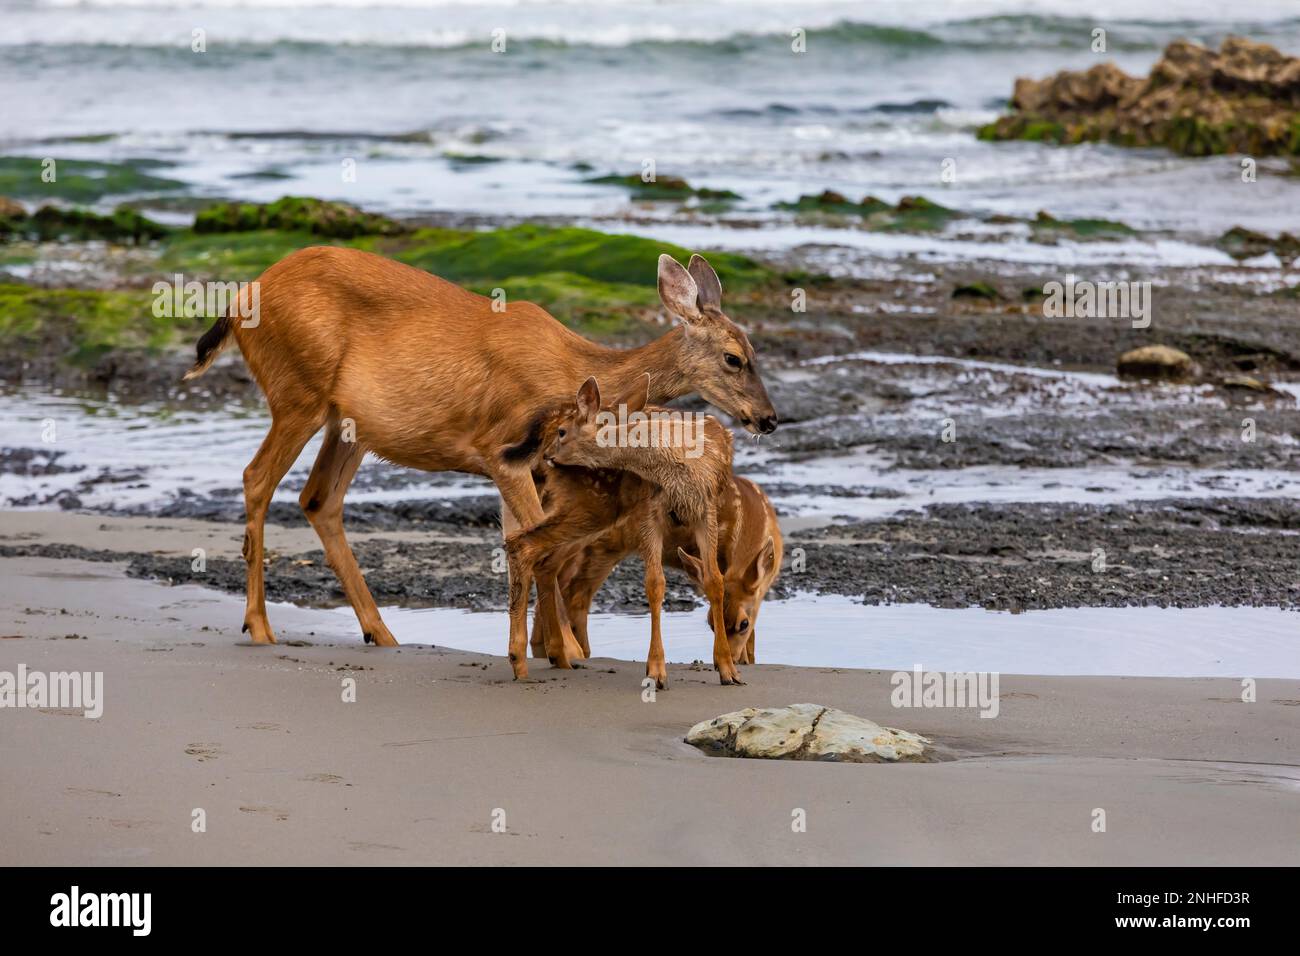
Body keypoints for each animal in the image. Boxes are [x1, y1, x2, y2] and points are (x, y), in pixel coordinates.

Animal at [504, 375, 746, 685]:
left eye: (563, 432)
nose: (547, 455)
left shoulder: (706, 508)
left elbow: (715, 581)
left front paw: (728, 669)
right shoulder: (649, 509)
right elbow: (655, 584)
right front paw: (655, 670)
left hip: (595, 514)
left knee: (542, 558)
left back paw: (557, 657)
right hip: (593, 506)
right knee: (522, 544)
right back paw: (520, 660)